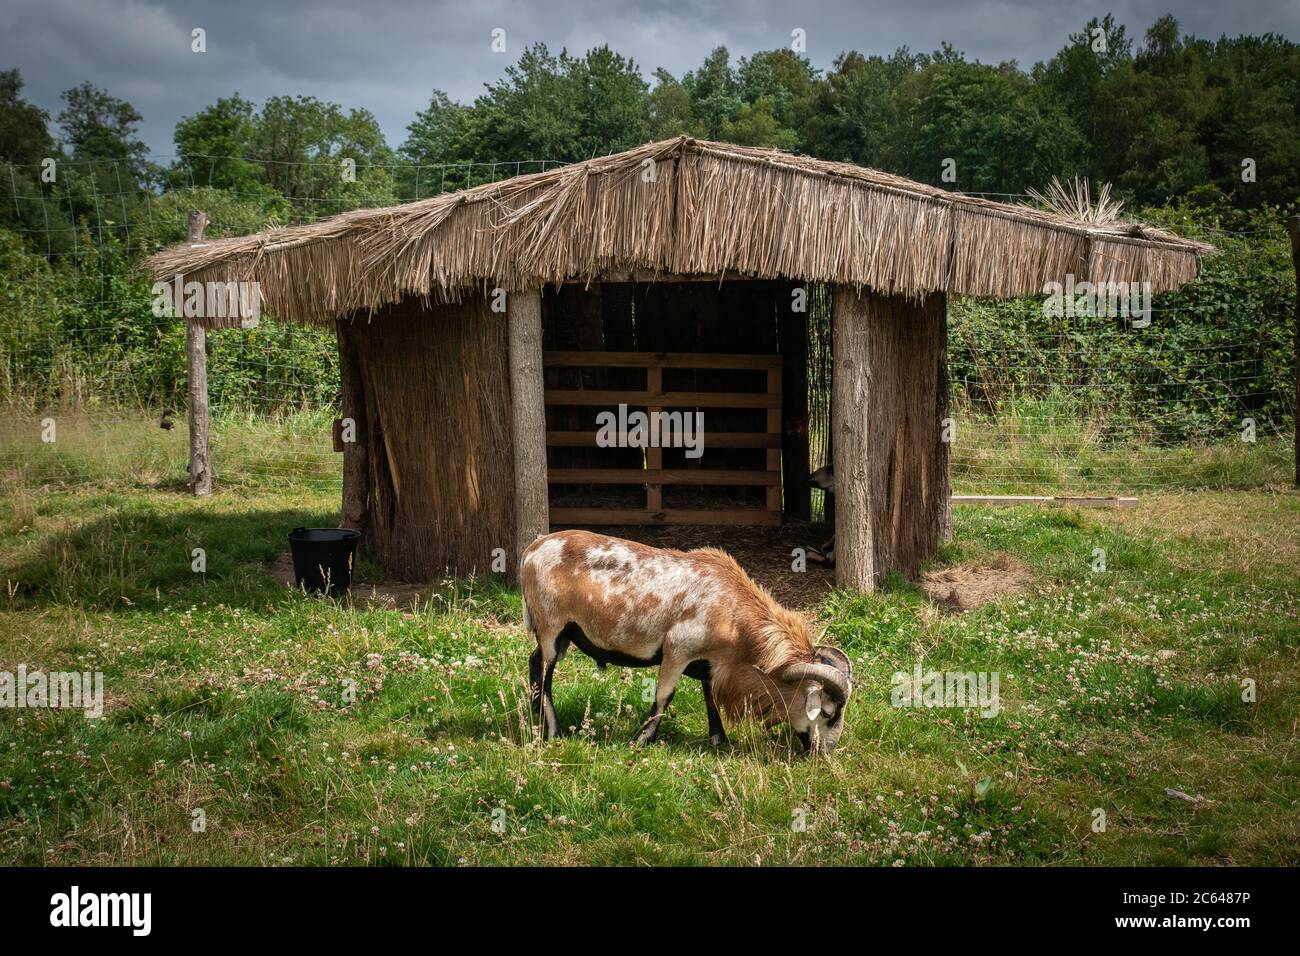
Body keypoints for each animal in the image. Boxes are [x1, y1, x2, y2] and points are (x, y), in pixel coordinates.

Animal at [520, 530, 852, 752]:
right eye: (828, 712)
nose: (825, 752)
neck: (732, 613)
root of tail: (532, 549)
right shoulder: (677, 650)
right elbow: (664, 695)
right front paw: (640, 740)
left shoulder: (709, 663)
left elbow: (710, 697)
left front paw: (719, 740)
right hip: (551, 625)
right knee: (545, 672)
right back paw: (552, 732)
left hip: (563, 635)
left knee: (534, 662)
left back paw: (536, 718)